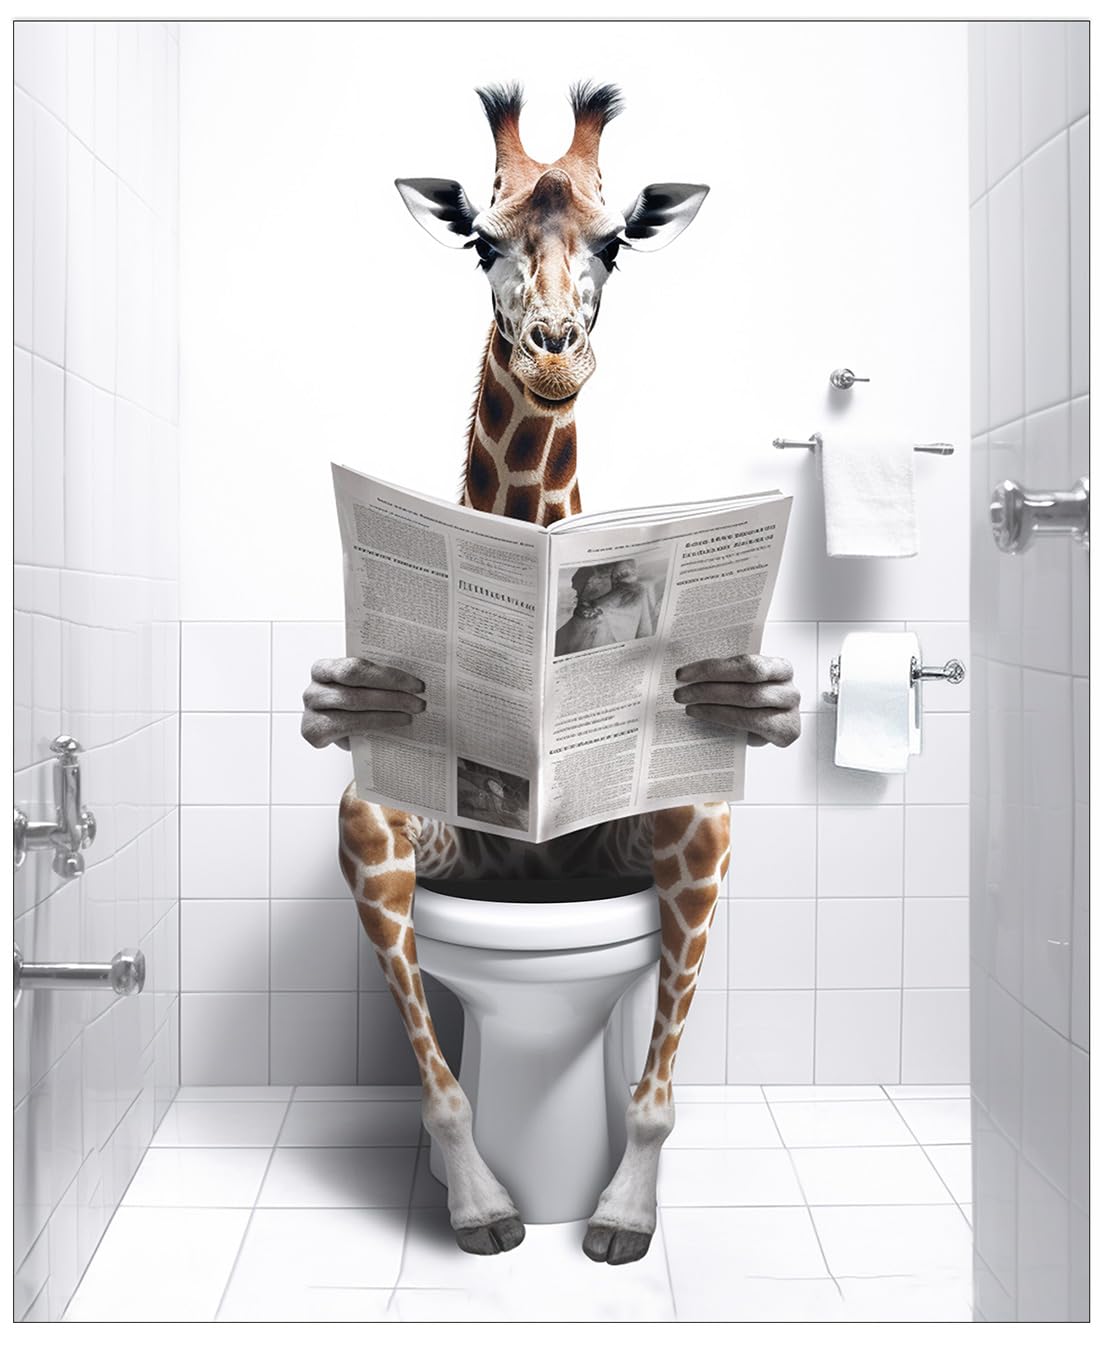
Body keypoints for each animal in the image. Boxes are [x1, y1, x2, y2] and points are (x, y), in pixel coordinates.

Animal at [308, 83, 793, 1265]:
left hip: (663, 826)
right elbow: (440, 1086)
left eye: (615, 241)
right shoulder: (391, 821)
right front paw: (482, 1207)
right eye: (481, 239)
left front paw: (620, 1219)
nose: (554, 355)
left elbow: (652, 1091)